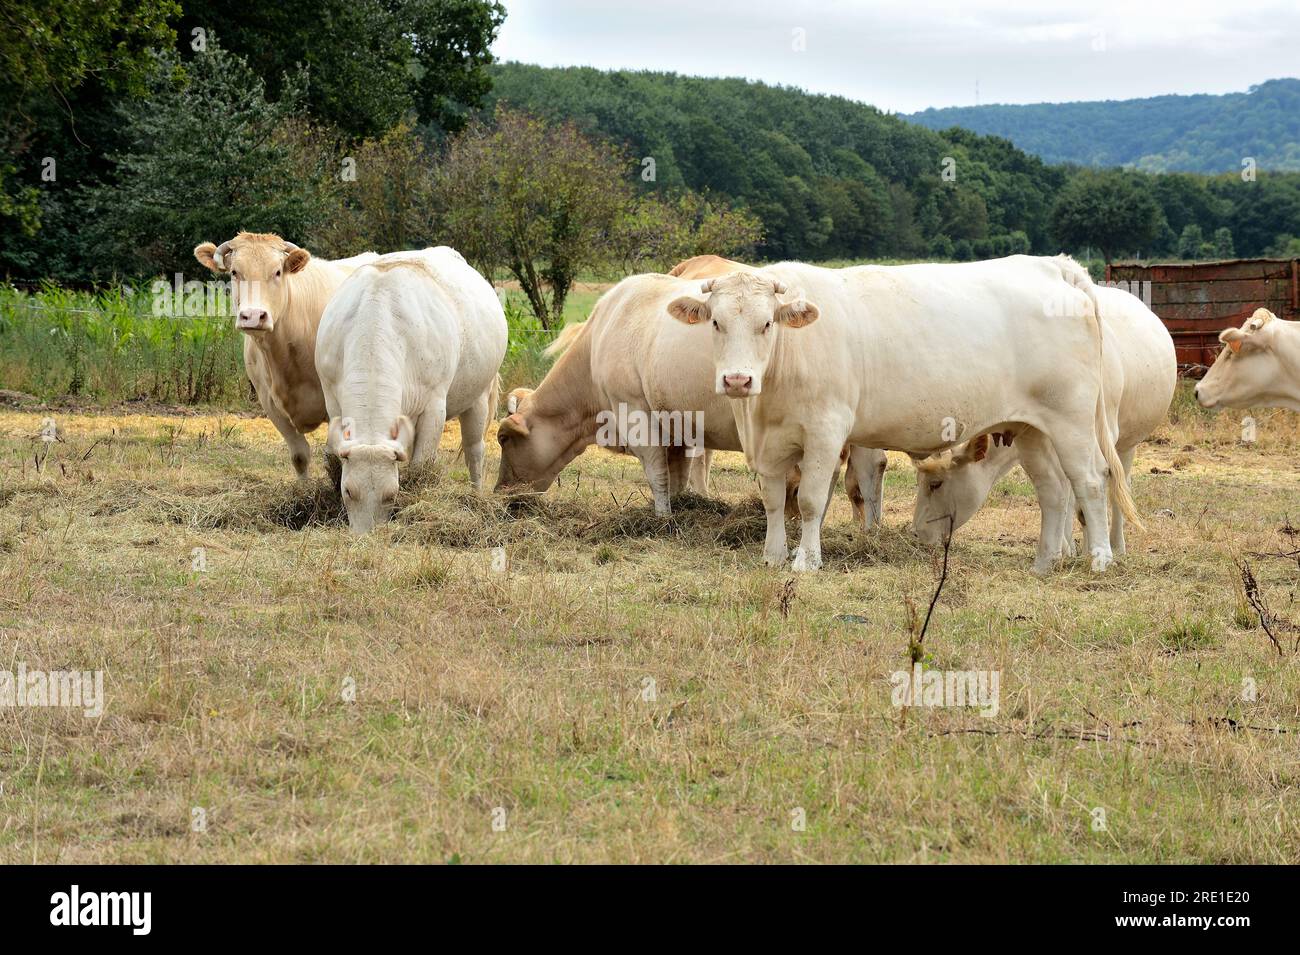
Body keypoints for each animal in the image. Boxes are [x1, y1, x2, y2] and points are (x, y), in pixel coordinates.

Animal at [194, 232, 377, 478]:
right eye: (234, 272)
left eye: (278, 272)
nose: (253, 316)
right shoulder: (269, 403)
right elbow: (300, 456)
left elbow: (333, 458)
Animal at [316, 248, 507, 533]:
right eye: (348, 491)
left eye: (391, 495)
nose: (366, 536)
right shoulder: (332, 400)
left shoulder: (434, 406)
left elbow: (420, 465)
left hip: (480, 397)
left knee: (474, 451)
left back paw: (476, 494)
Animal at [665, 255, 1140, 573]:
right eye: (716, 323)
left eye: (767, 324)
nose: (737, 380)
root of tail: (1052, 265)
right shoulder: (767, 440)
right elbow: (773, 500)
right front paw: (773, 555)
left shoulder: (825, 431)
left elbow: (810, 499)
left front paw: (806, 562)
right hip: (1031, 428)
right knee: (1053, 490)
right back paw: (1042, 563)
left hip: (1071, 419)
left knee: (1090, 481)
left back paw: (1100, 560)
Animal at [911, 284, 1176, 572]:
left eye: (936, 484)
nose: (917, 533)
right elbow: (1061, 491)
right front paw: (1066, 547)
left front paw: (1081, 548)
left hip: (1125, 441)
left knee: (1120, 486)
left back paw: (1116, 544)